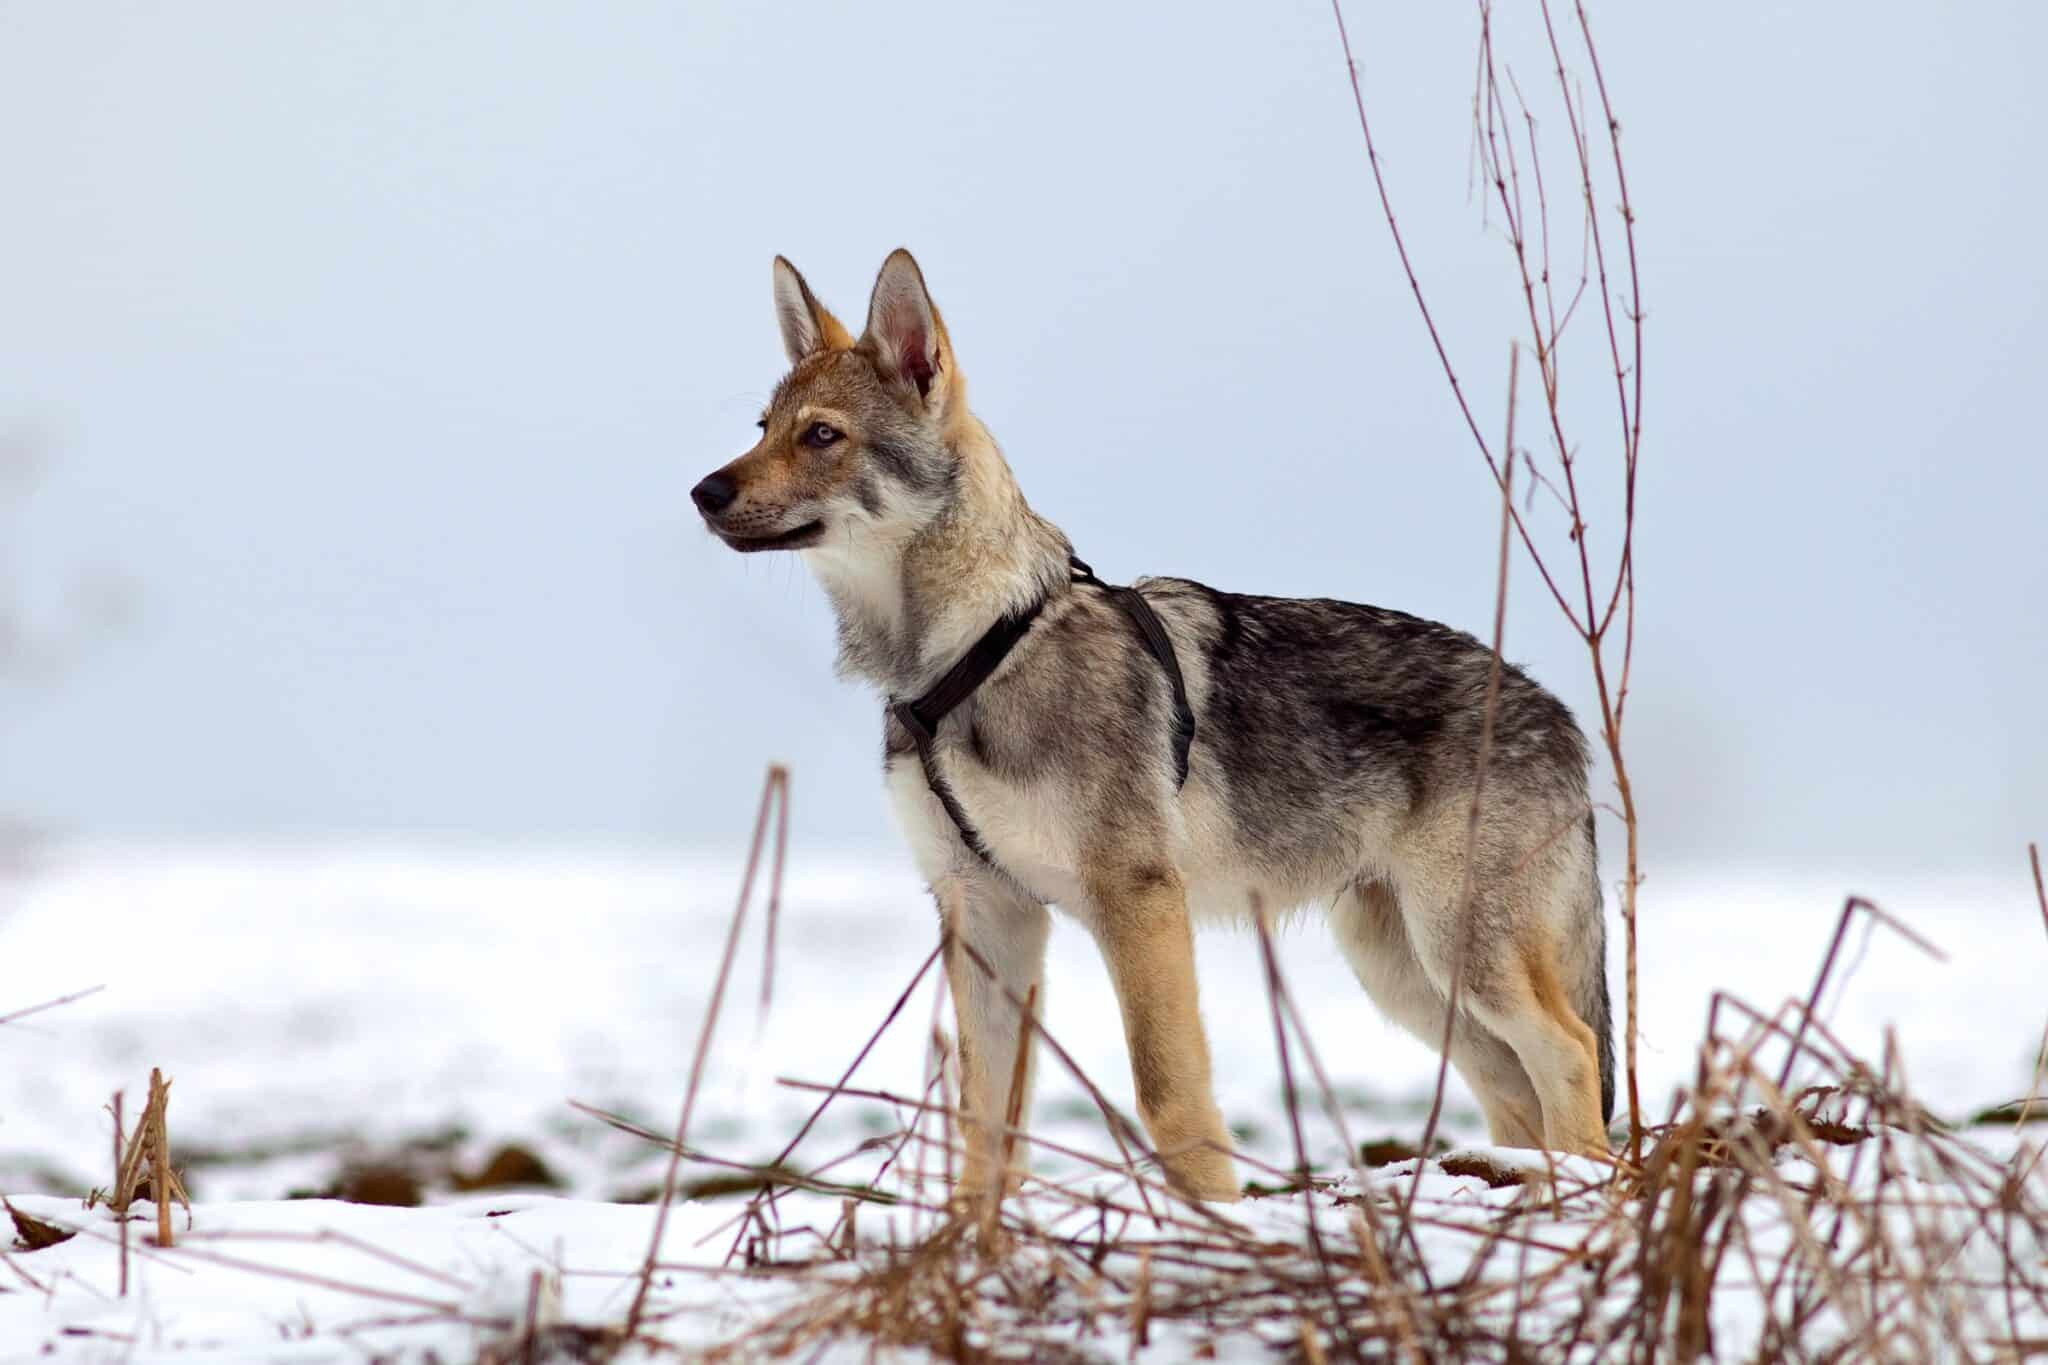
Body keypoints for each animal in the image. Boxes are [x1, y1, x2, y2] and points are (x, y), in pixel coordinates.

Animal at [692, 249, 1614, 1203]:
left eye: (821, 436)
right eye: (763, 427)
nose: (703, 491)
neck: (967, 658)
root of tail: (1560, 711)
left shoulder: (1136, 901)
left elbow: (1168, 1095)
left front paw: (1216, 1216)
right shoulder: (984, 909)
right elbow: (983, 1120)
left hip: (1463, 956)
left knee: (1572, 1052)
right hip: (1409, 976)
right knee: (1514, 1087)